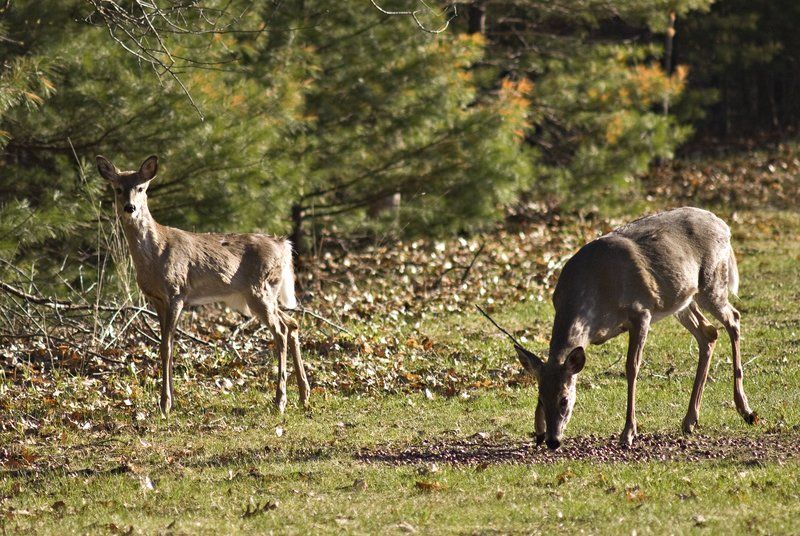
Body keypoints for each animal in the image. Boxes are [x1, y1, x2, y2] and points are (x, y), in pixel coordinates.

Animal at [96, 155, 310, 416]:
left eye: (141, 188)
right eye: (117, 189)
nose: (130, 208)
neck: (155, 255)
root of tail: (284, 245)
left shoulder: (176, 292)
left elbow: (166, 347)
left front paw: (165, 404)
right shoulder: (156, 298)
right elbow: (168, 345)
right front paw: (170, 401)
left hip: (259, 290)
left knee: (279, 331)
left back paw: (280, 400)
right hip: (261, 293)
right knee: (292, 323)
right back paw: (304, 395)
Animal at [507, 207, 757, 449]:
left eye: (564, 400)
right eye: (540, 398)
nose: (553, 441)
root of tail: (723, 225)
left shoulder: (641, 311)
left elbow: (632, 368)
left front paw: (628, 433)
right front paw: (538, 432)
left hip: (712, 282)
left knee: (733, 318)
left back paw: (745, 410)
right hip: (682, 300)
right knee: (709, 333)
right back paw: (690, 421)